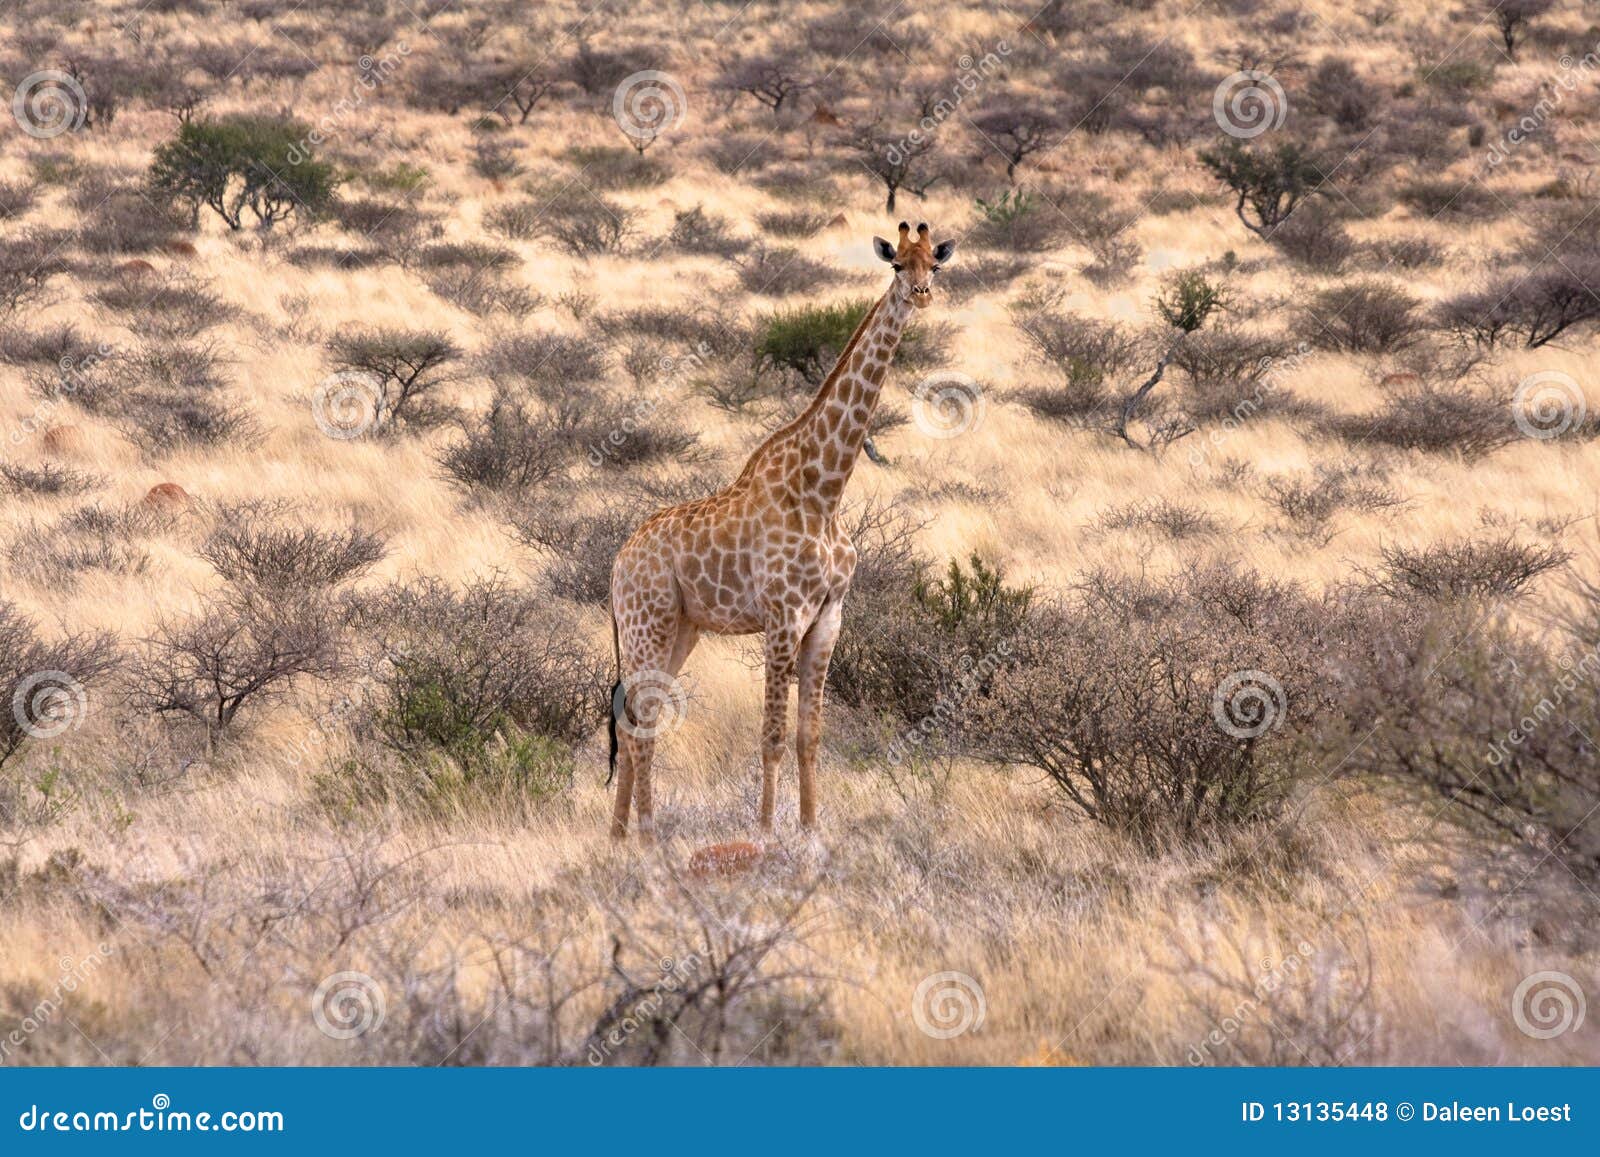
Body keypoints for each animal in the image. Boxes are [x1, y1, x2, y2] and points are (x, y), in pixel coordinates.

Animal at [606, 221, 957, 840]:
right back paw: (646, 833)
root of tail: (617, 563)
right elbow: (770, 735)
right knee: (641, 720)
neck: (824, 493)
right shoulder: (781, 616)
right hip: (647, 621)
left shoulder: (828, 619)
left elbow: (808, 737)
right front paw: (768, 832)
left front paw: (812, 829)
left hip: (681, 629)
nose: (920, 295)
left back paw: (621, 834)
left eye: (933, 266)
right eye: (896, 265)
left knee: (633, 722)